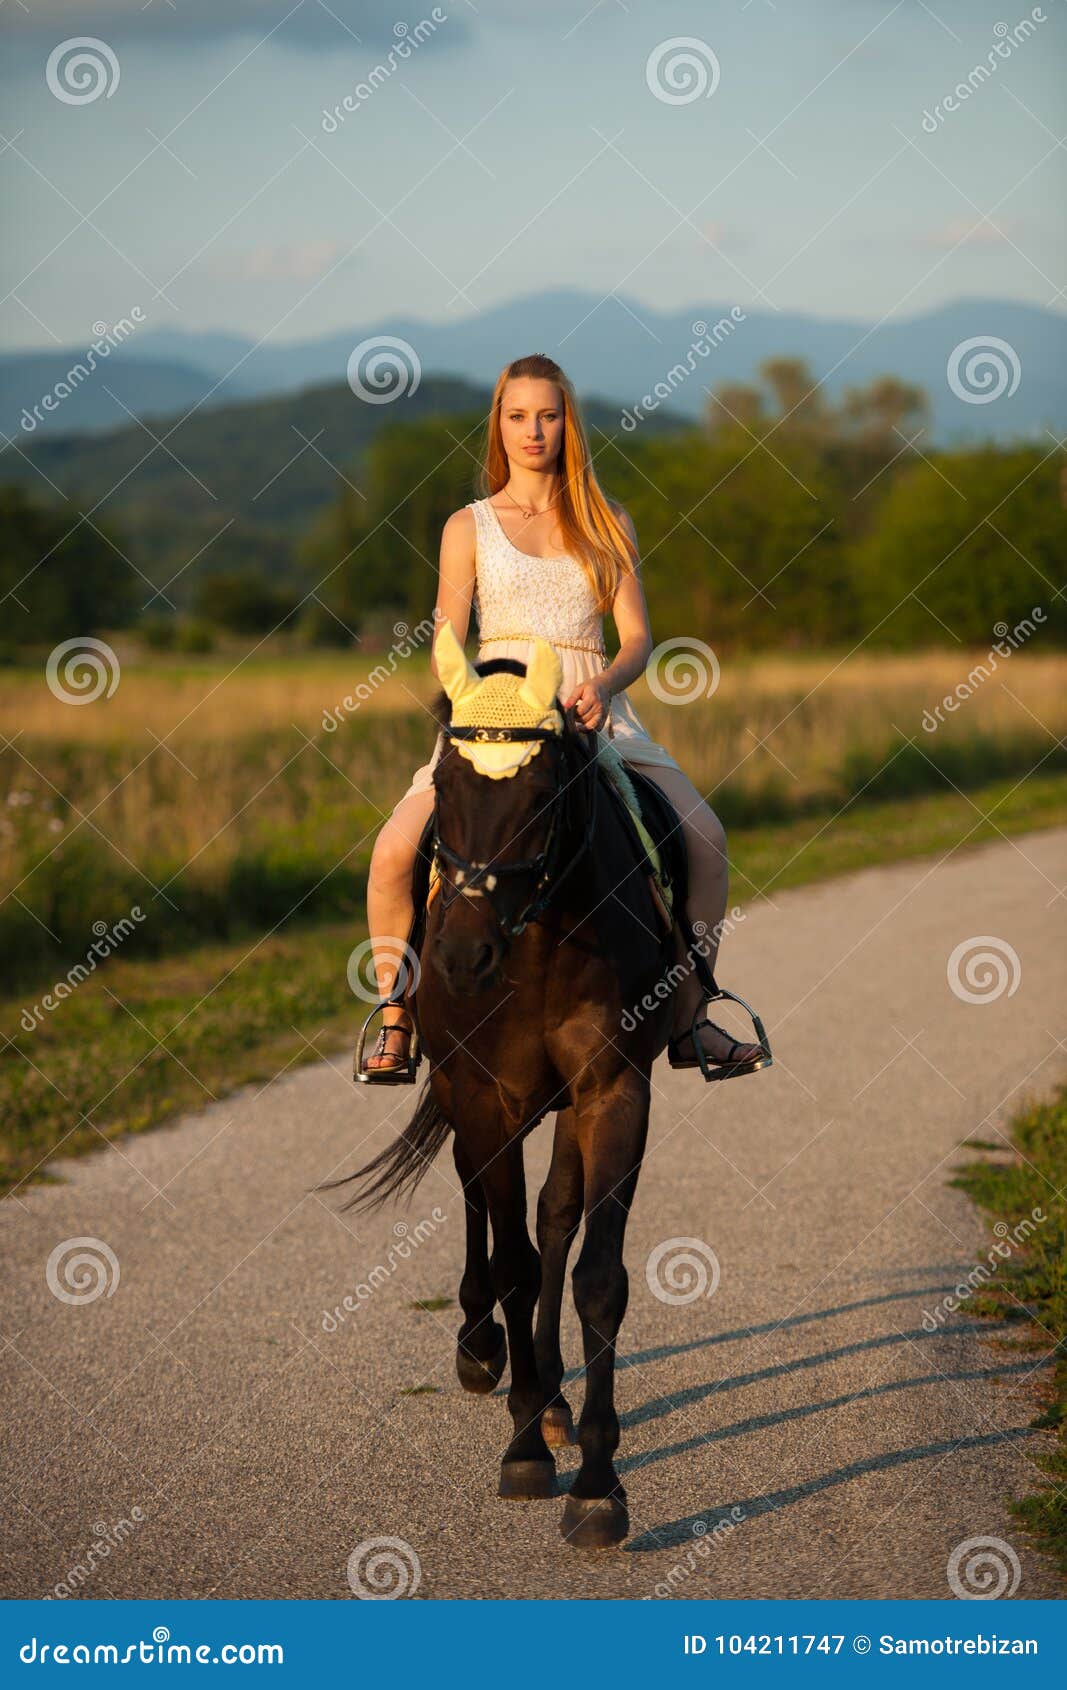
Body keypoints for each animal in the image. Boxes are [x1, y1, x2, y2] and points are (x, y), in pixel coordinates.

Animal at [330, 619, 731, 1548]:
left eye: (545, 790)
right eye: (444, 783)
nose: (462, 956)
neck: (538, 936)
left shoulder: (612, 1093)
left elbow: (594, 1273)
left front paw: (596, 1483)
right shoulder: (484, 1096)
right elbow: (511, 1255)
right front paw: (522, 1451)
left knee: (552, 1216)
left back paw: (547, 1394)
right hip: (467, 1094)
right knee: (481, 1202)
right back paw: (488, 1356)